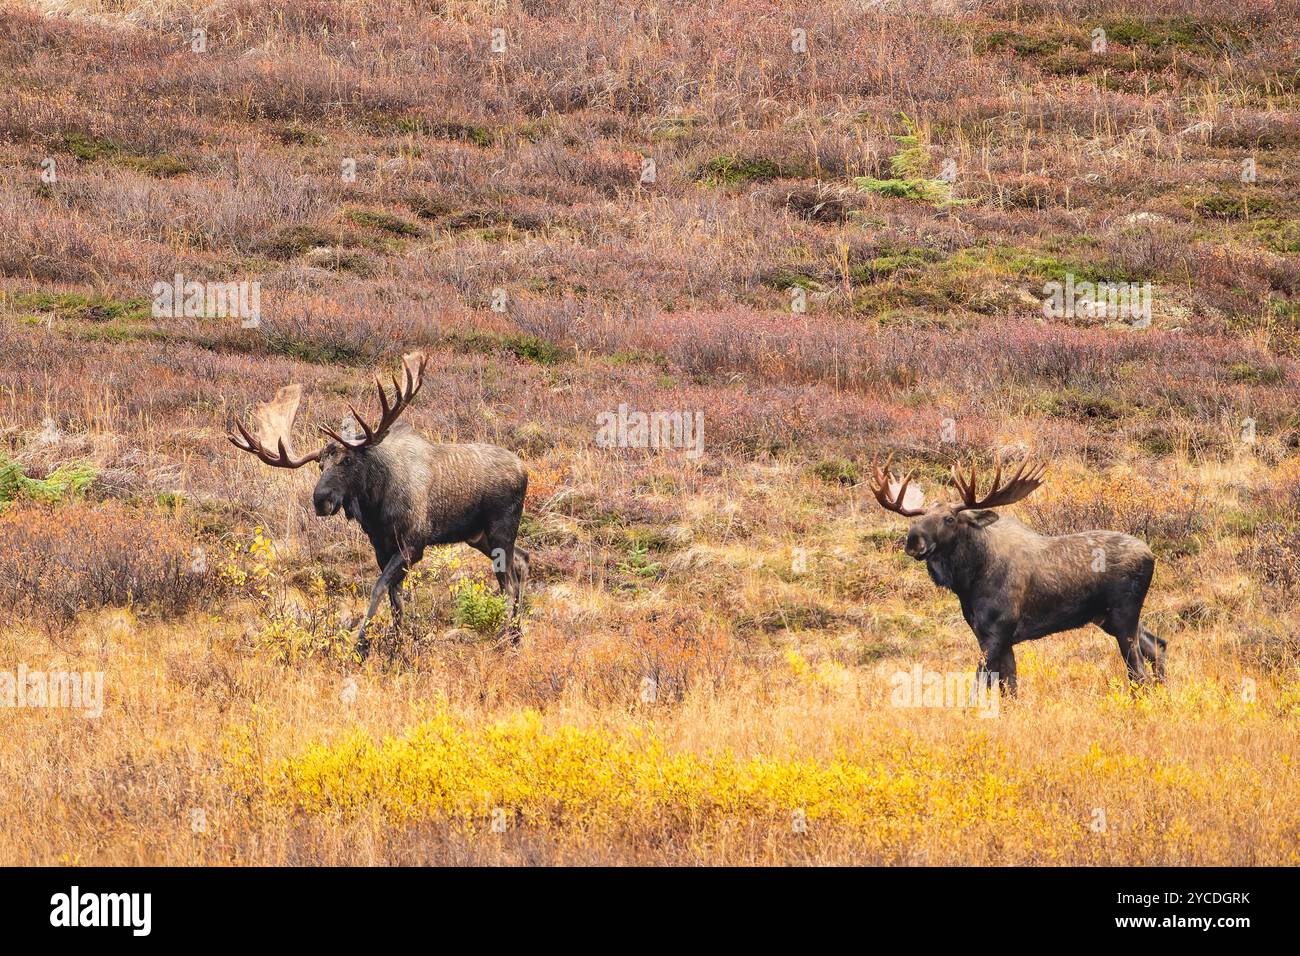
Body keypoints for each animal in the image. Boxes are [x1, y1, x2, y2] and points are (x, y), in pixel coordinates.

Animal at [228, 351, 530, 659]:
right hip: (477, 536)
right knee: (522, 559)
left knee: (509, 582)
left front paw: (362, 645)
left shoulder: (412, 545)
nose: (320, 501)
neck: (376, 505)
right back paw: (516, 635)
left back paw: (506, 636)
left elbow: (379, 587)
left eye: (347, 460)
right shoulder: (381, 547)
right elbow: (396, 598)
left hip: (501, 528)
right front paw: (397, 642)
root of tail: (524, 469)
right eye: (320, 465)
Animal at [869, 455, 1164, 695]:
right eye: (918, 518)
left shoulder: (997, 631)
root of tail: (1150, 554)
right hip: (1107, 618)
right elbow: (1008, 688)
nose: (913, 540)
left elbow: (979, 685)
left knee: (1138, 670)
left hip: (1123, 614)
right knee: (1157, 645)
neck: (969, 581)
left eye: (949, 519)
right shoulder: (991, 635)